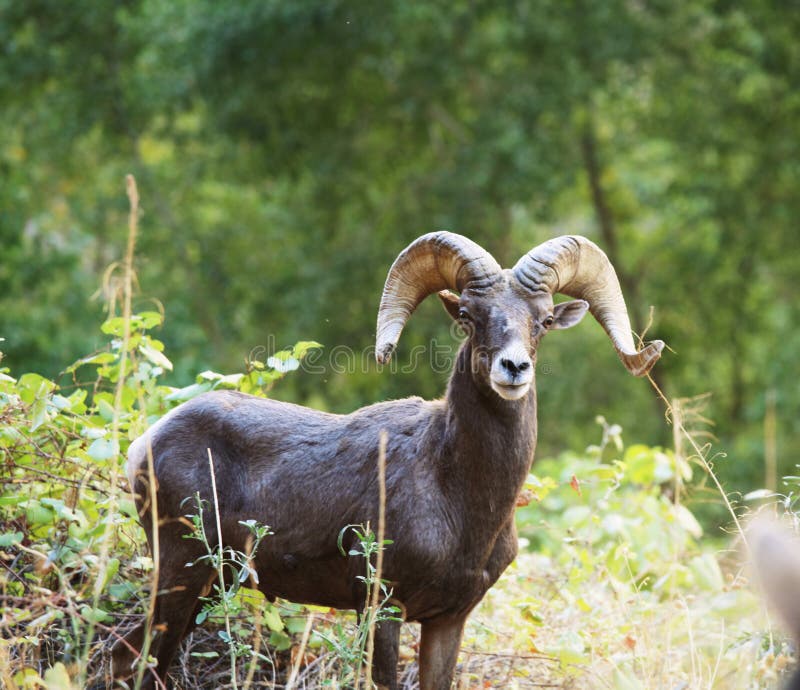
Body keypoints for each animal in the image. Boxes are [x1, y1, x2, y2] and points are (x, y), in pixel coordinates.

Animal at [114, 232, 664, 689]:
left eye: (545, 320)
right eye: (469, 315)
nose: (513, 368)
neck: (458, 495)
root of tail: (146, 442)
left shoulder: (447, 620)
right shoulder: (382, 607)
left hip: (206, 587)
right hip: (180, 575)